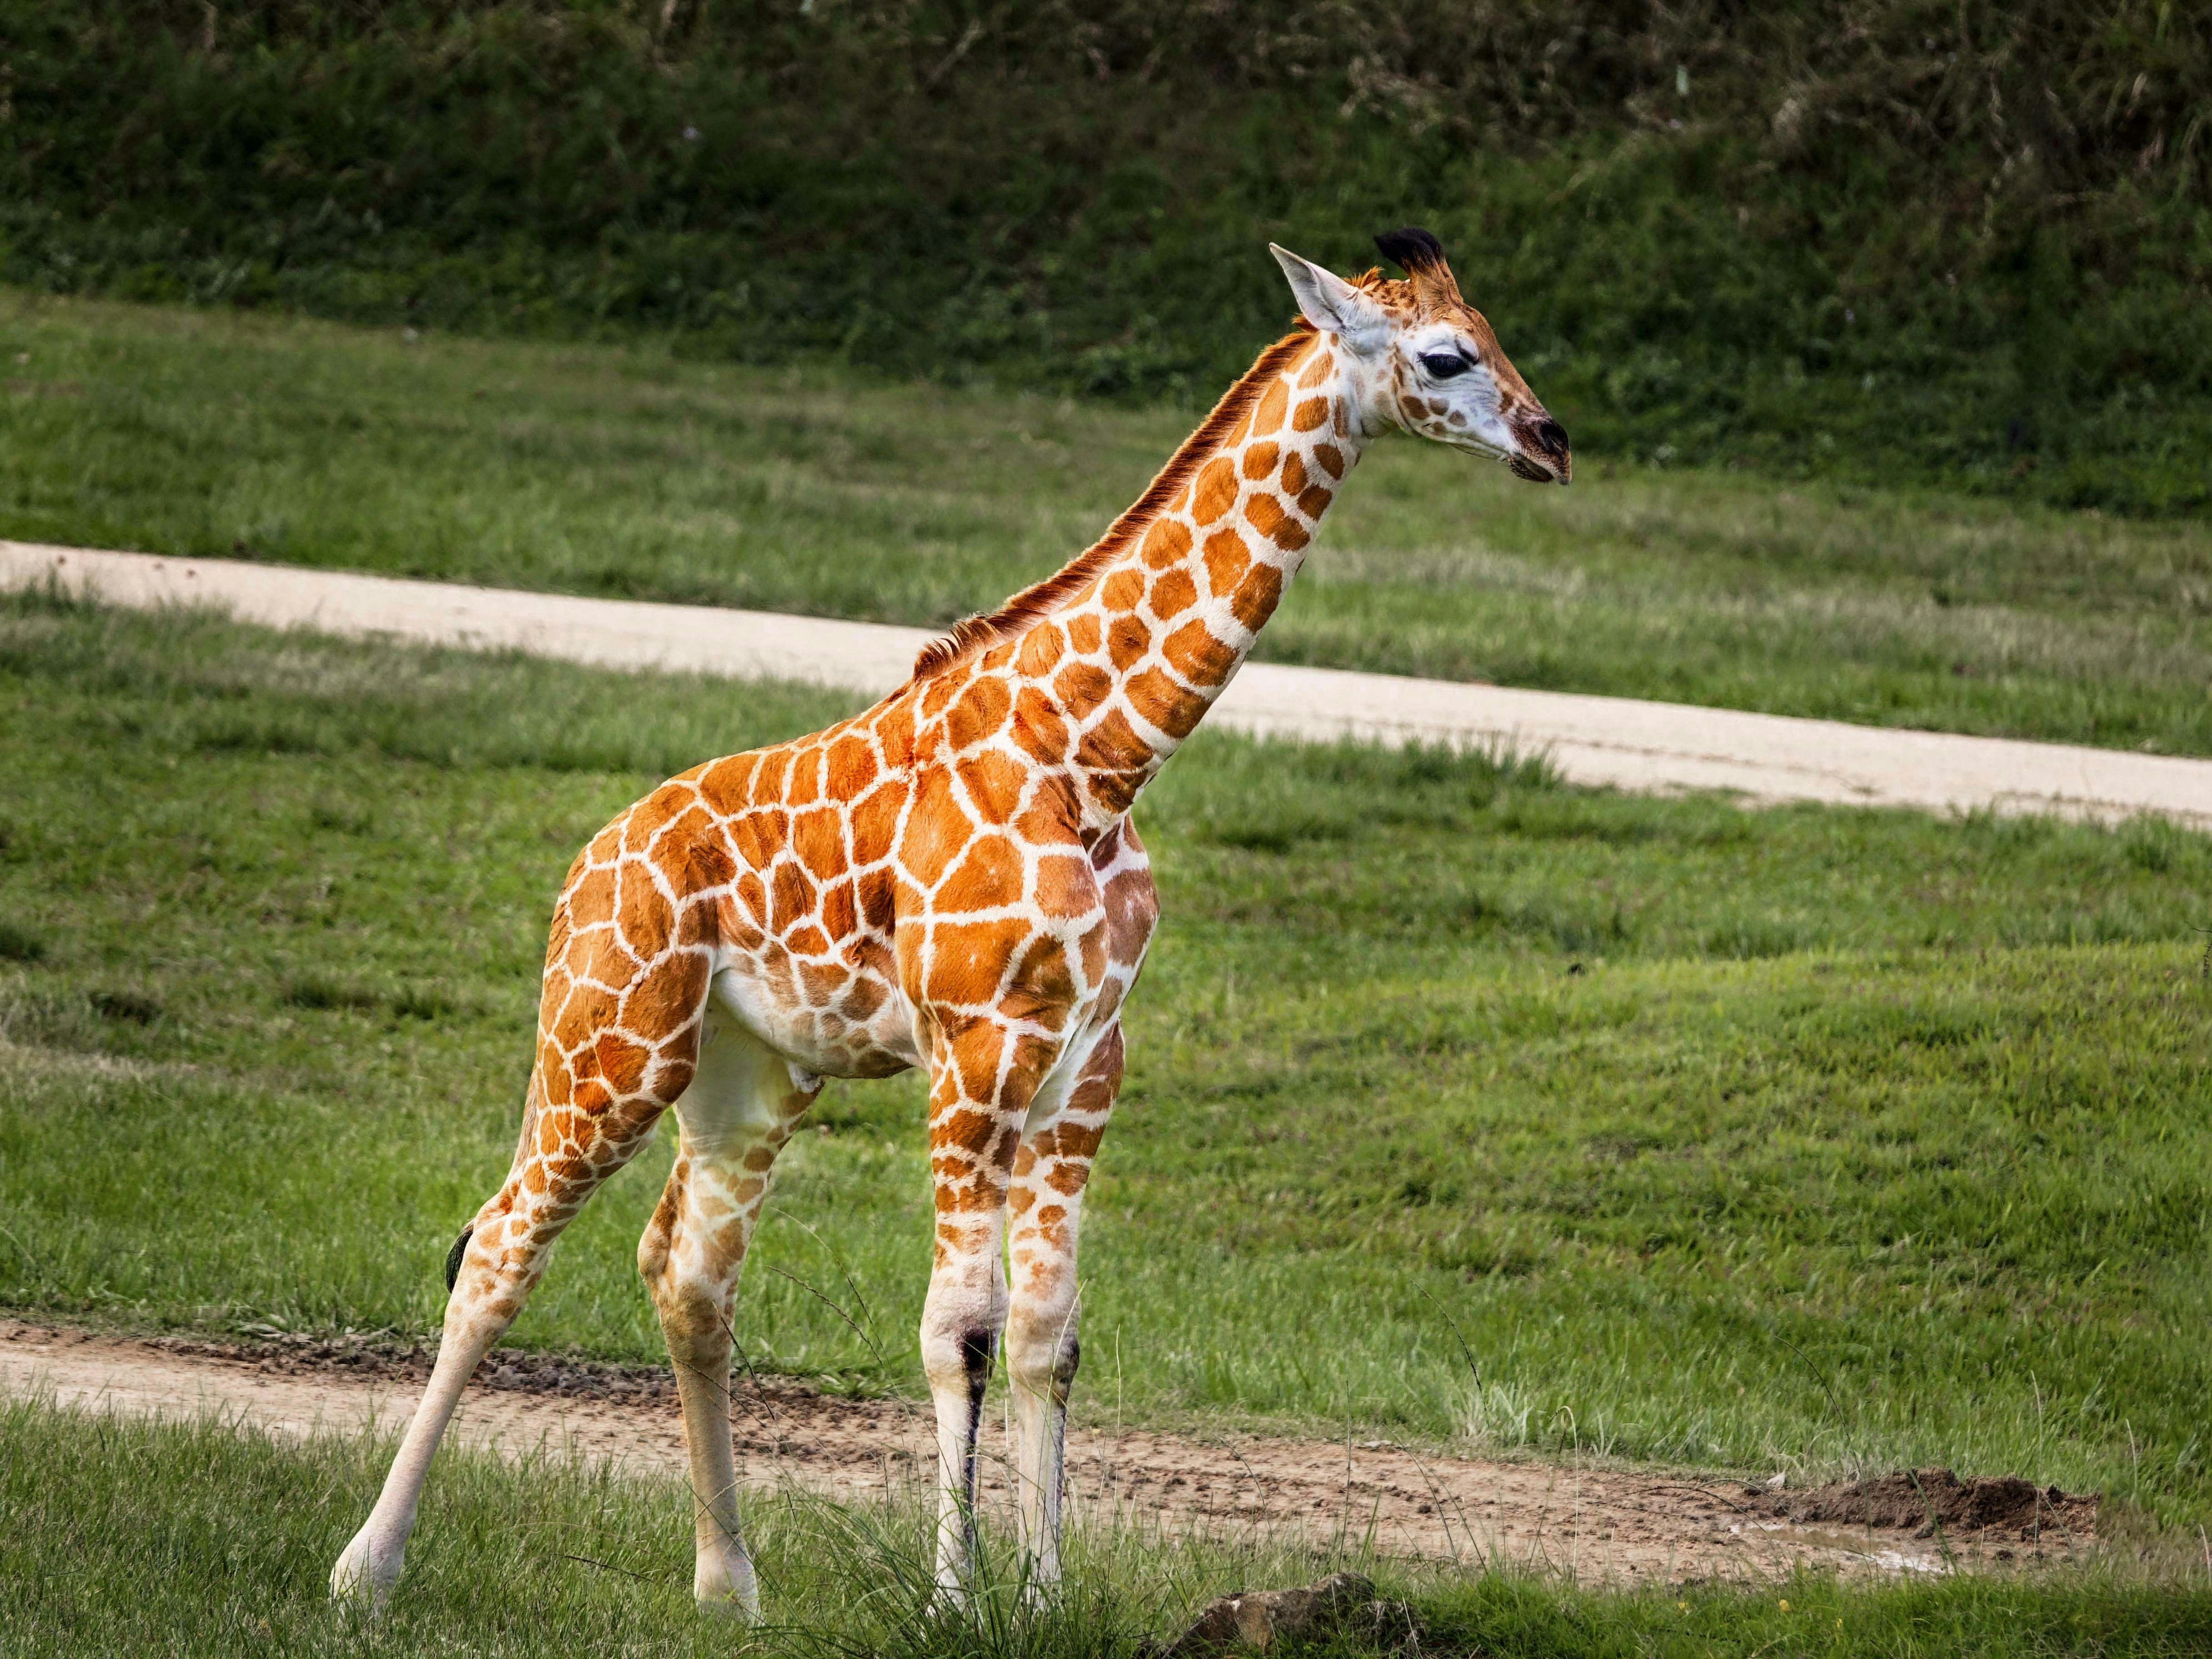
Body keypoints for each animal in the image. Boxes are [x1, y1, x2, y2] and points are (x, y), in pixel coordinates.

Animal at [330, 227, 1569, 1616]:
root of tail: (586, 865)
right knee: (501, 1247)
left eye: (1495, 332)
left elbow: (1045, 1332)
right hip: (612, 1037)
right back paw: (367, 1568)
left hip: (749, 1075)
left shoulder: (1087, 1061)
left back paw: (730, 1585)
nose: (1551, 438)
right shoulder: (974, 1048)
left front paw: (1043, 1596)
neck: (1096, 759)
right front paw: (950, 1598)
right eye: (1444, 355)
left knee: (689, 1276)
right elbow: (954, 1327)